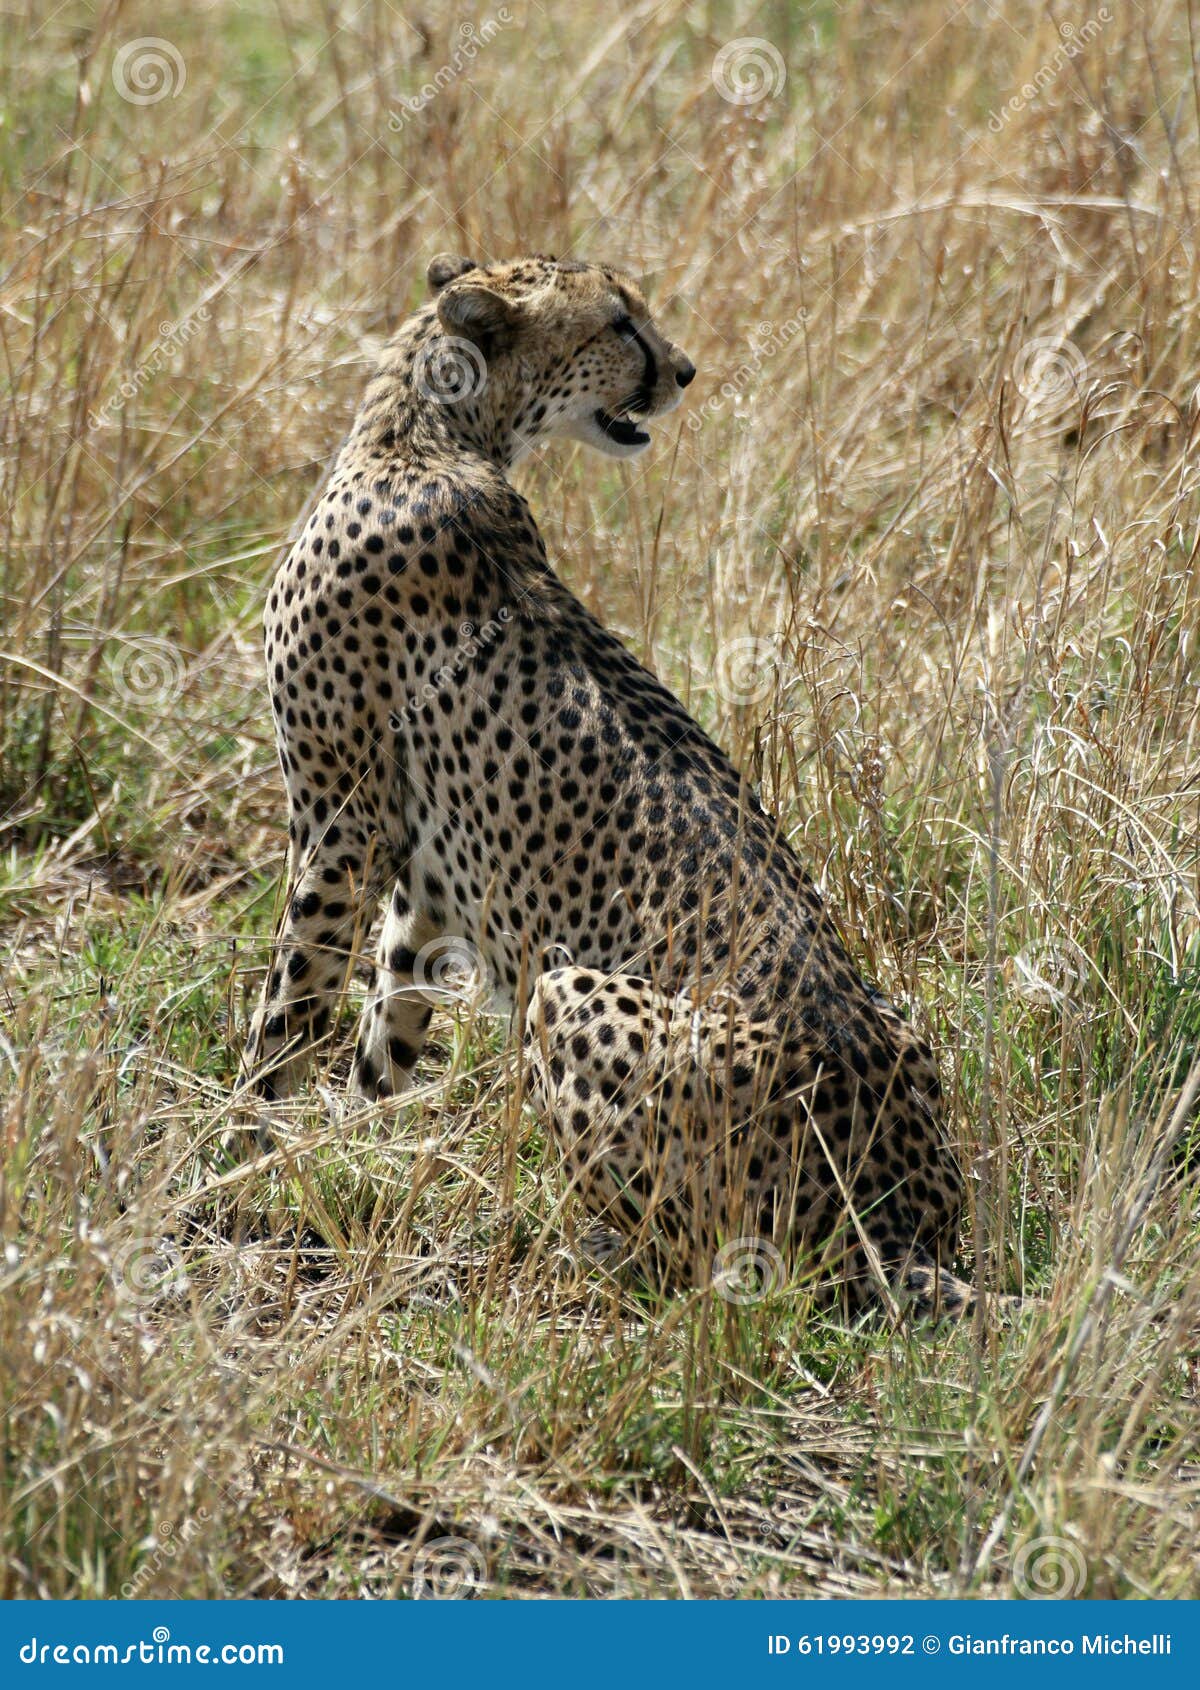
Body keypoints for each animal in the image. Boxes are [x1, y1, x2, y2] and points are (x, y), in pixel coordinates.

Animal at [241, 251, 986, 1318]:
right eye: (619, 323)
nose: (683, 370)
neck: (421, 437)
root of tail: (908, 1226)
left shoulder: (340, 826)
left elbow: (289, 1008)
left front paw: (234, 1156)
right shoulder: (421, 881)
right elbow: (387, 1019)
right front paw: (352, 1141)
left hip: (569, 995)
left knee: (701, 1272)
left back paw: (574, 1259)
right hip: (898, 1026)